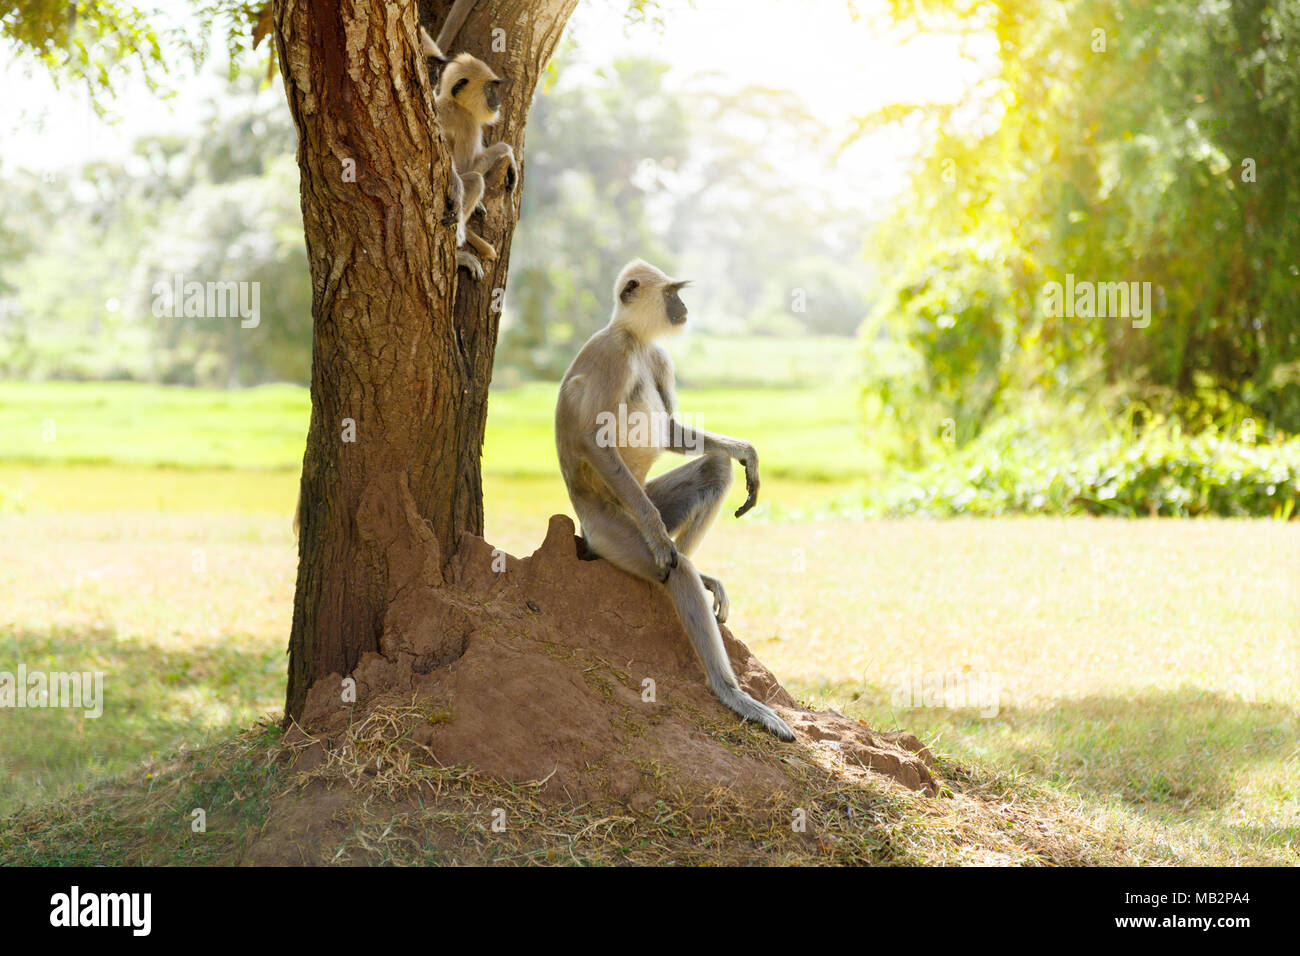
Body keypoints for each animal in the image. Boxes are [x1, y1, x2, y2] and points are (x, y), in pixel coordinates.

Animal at [418, 25, 517, 280]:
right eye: (490, 88)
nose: (497, 100)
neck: (454, 103)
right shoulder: (467, 123)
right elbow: (466, 166)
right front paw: (507, 152)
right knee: (474, 180)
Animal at [554, 259, 795, 742]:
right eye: (671, 293)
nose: (682, 306)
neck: (635, 339)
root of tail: (586, 528)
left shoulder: (658, 358)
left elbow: (671, 432)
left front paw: (746, 451)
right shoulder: (613, 353)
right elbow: (591, 438)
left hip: (647, 495)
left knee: (716, 469)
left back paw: (701, 574)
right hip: (612, 527)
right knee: (671, 564)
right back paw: (730, 691)